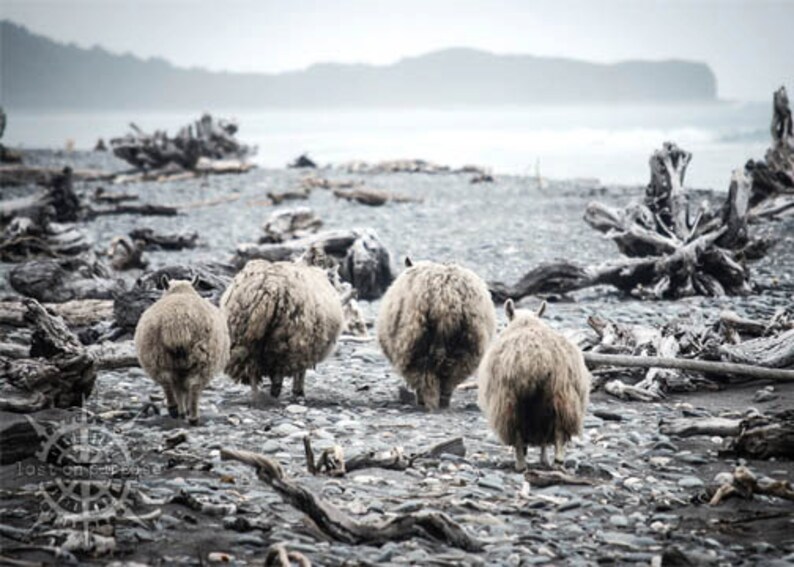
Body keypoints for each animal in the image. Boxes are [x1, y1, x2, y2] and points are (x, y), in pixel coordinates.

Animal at [134, 276, 230, 425]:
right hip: (201, 359)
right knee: (191, 386)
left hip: (160, 356)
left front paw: (182, 410)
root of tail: (178, 322)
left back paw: (177, 409)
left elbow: (180, 390)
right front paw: (183, 410)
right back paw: (190, 415)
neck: (181, 291)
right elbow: (182, 390)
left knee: (169, 381)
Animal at [220, 257, 344, 400]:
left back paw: (256, 396)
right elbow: (300, 374)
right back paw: (274, 396)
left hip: (242, 336)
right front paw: (298, 392)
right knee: (277, 379)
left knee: (252, 371)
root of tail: (269, 288)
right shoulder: (306, 348)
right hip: (285, 344)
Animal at [377, 258, 496, 409]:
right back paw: (443, 403)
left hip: (414, 341)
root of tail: (445, 297)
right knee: (449, 375)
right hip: (467, 344)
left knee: (423, 373)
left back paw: (426, 403)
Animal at [478, 299, 590, 471]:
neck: (527, 323)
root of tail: (538, 358)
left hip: (510, 399)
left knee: (517, 431)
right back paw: (556, 461)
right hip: (562, 395)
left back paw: (521, 464)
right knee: (558, 429)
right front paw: (544, 459)